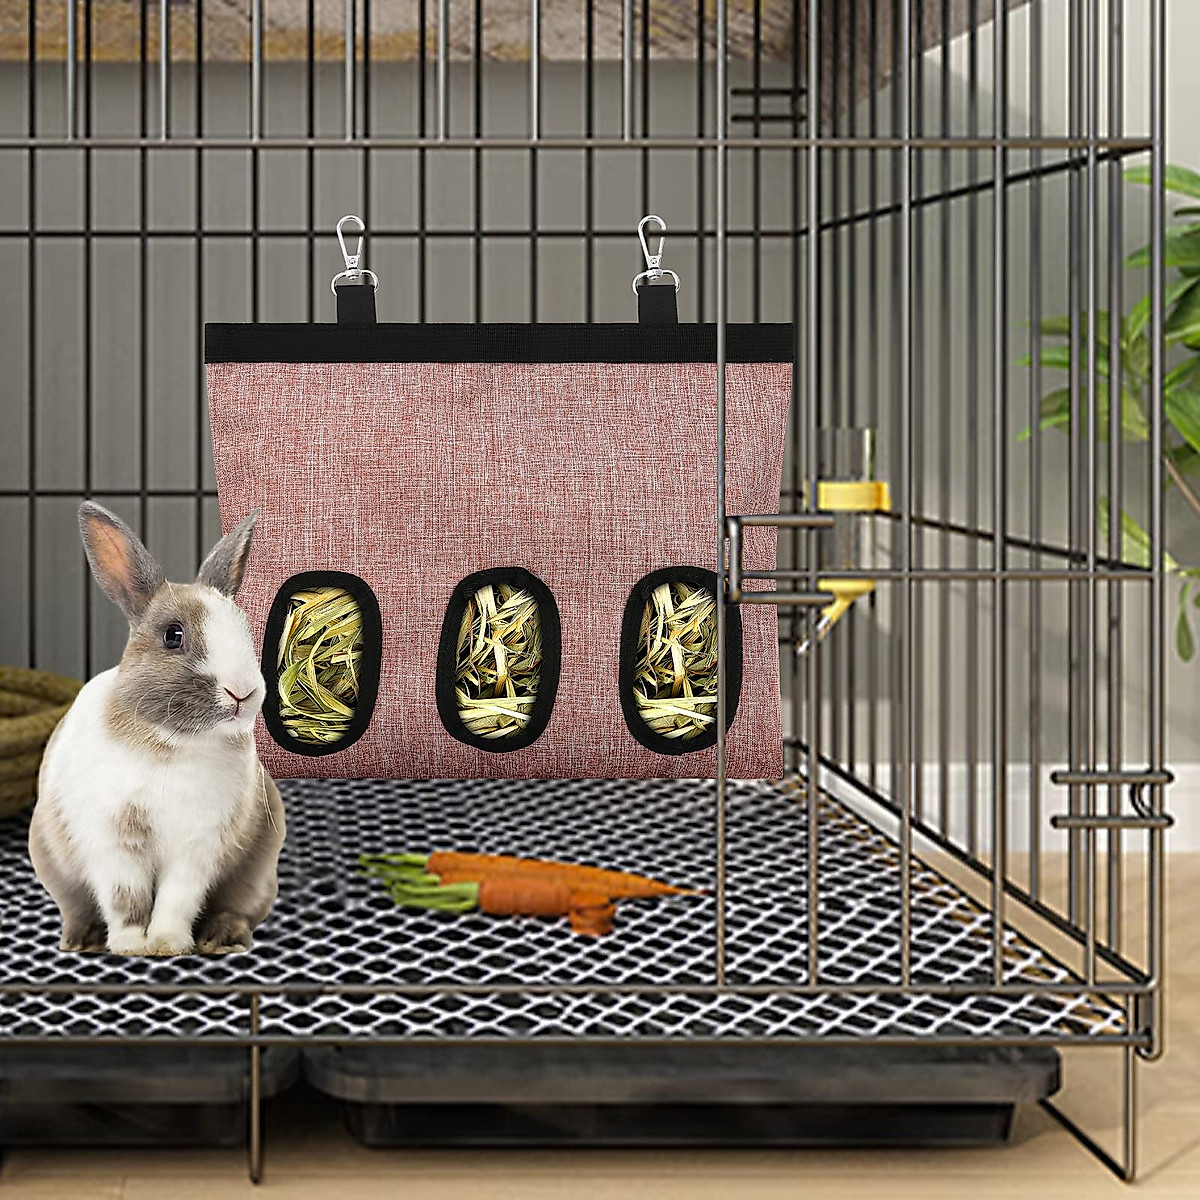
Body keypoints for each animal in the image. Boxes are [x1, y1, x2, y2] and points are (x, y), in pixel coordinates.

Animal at [28, 501, 285, 957]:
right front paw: (131, 945)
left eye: (245, 631)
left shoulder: (197, 847)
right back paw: (81, 941)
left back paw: (220, 939)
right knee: (76, 907)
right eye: (173, 636)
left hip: (258, 873)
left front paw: (167, 944)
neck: (172, 741)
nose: (242, 691)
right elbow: (124, 897)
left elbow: (176, 898)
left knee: (237, 909)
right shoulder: (113, 841)